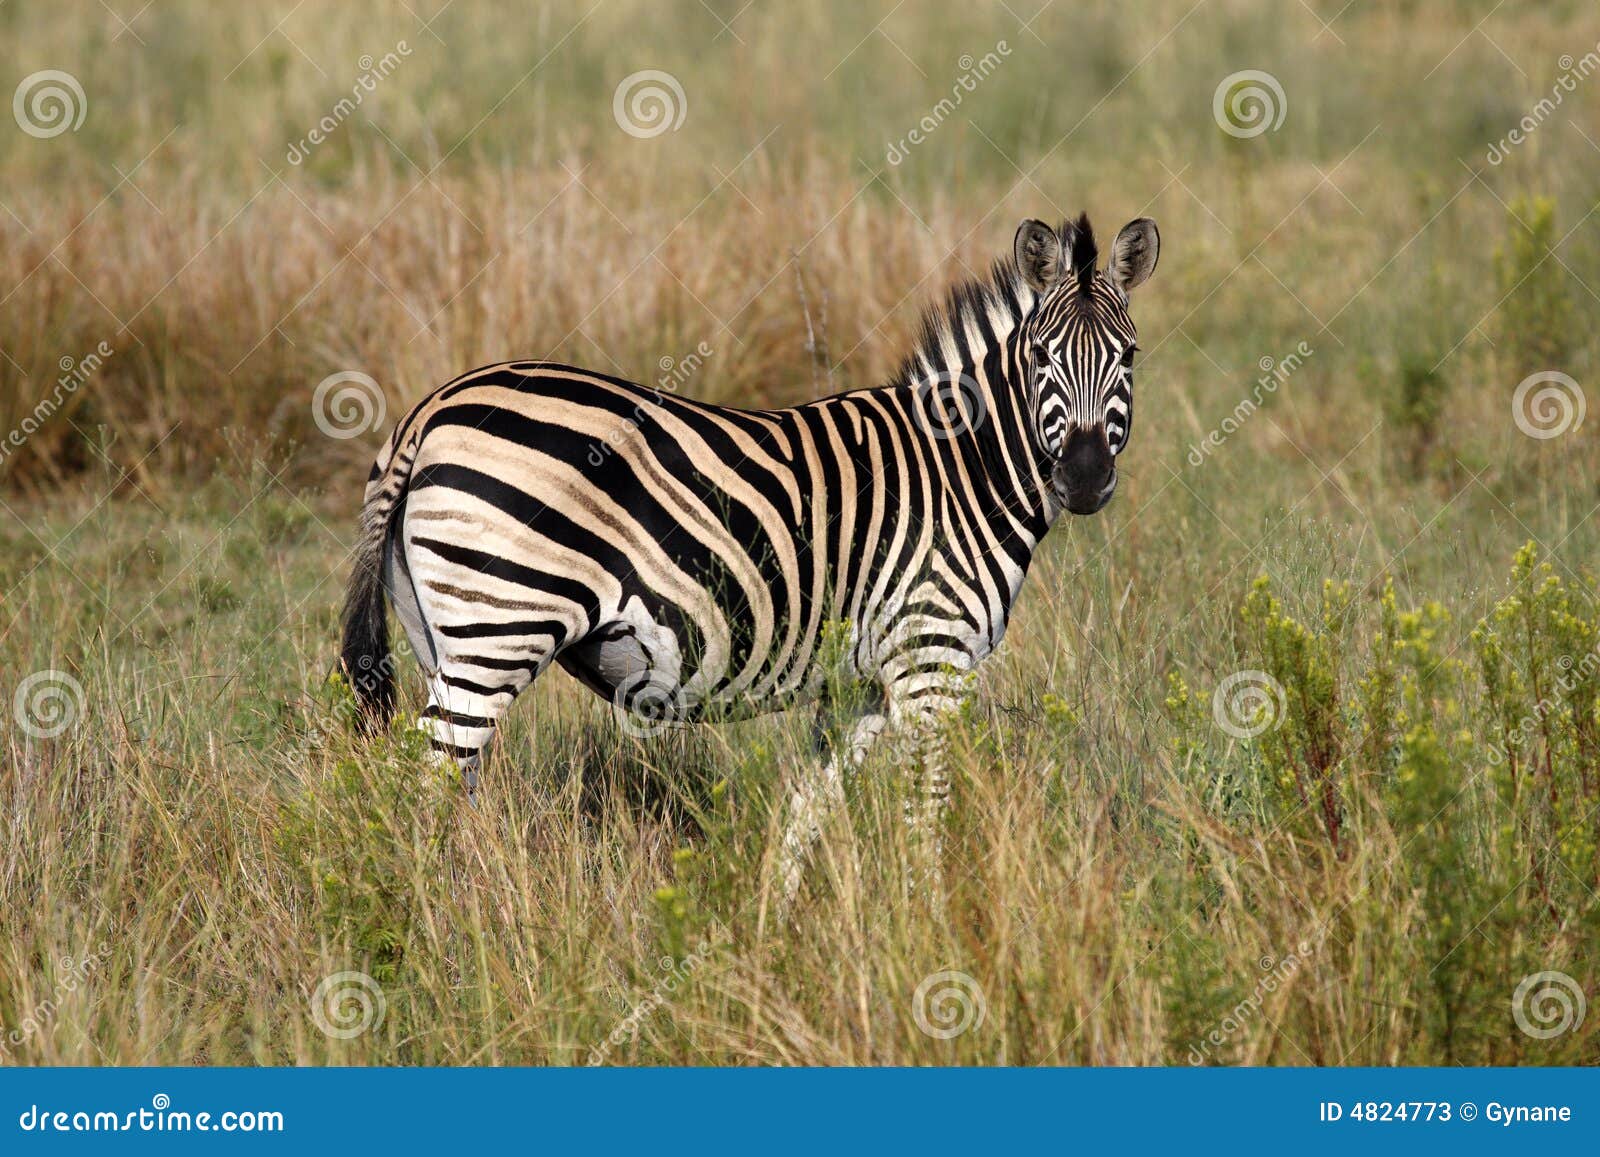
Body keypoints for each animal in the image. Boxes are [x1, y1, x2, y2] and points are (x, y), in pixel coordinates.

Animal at [339, 211, 1159, 897]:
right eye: (1041, 356)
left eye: (1130, 356)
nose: (1085, 478)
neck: (965, 469)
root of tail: (430, 408)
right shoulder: (931, 660)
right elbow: (926, 816)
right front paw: (930, 926)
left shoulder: (862, 685)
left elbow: (809, 806)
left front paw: (776, 925)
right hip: (501, 628)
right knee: (426, 784)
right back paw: (431, 926)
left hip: (445, 635)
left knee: (451, 780)